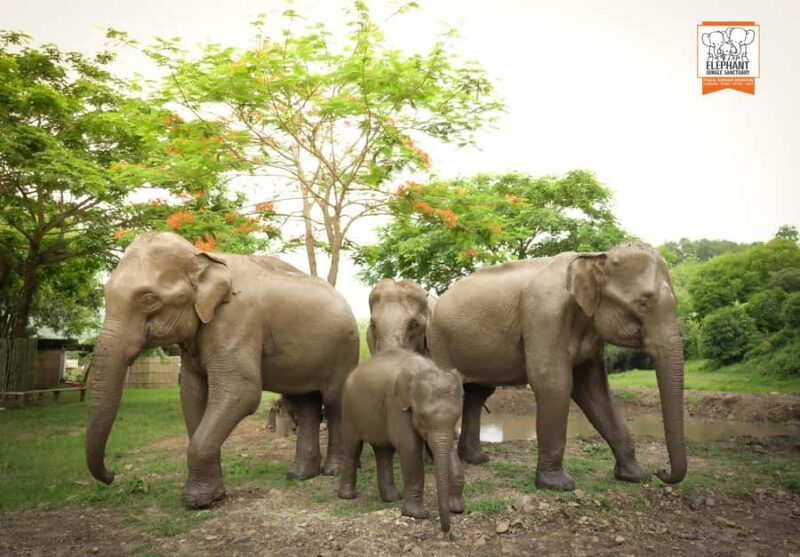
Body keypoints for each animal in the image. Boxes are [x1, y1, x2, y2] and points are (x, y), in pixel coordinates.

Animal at [85, 232, 359, 508]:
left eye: (148, 299)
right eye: (105, 294)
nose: (112, 475)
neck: (204, 259)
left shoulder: (236, 321)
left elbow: (242, 392)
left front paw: (196, 501)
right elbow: (192, 393)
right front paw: (214, 495)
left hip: (345, 348)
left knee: (334, 403)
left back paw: (332, 471)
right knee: (306, 403)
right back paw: (300, 475)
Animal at [337, 347, 465, 532]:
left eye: (457, 416)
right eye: (421, 417)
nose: (446, 530)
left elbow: (450, 448)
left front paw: (457, 508)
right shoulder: (396, 405)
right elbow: (410, 448)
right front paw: (416, 515)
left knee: (384, 452)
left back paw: (391, 498)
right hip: (348, 410)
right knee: (352, 449)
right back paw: (347, 496)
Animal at [428, 242, 686, 491]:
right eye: (643, 302)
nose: (661, 470)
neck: (595, 257)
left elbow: (594, 390)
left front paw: (636, 476)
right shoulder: (545, 314)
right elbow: (553, 383)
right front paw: (558, 485)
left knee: (477, 394)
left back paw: (477, 460)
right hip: (440, 343)